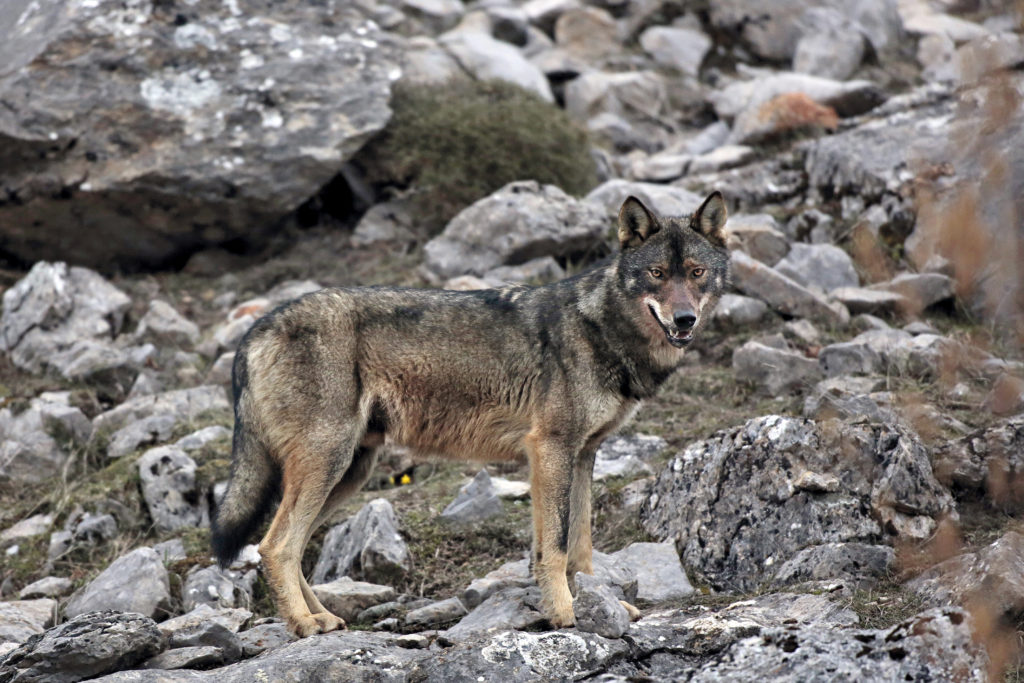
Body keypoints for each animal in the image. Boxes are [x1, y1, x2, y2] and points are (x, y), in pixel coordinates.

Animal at [211, 191, 731, 637]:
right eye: (657, 273)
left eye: (697, 272)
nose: (684, 320)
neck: (600, 329)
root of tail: (254, 332)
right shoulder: (550, 450)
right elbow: (556, 547)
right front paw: (564, 613)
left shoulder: (583, 455)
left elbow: (580, 547)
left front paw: (600, 601)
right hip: (328, 463)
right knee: (275, 546)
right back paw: (304, 624)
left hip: (348, 473)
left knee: (291, 548)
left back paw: (321, 618)